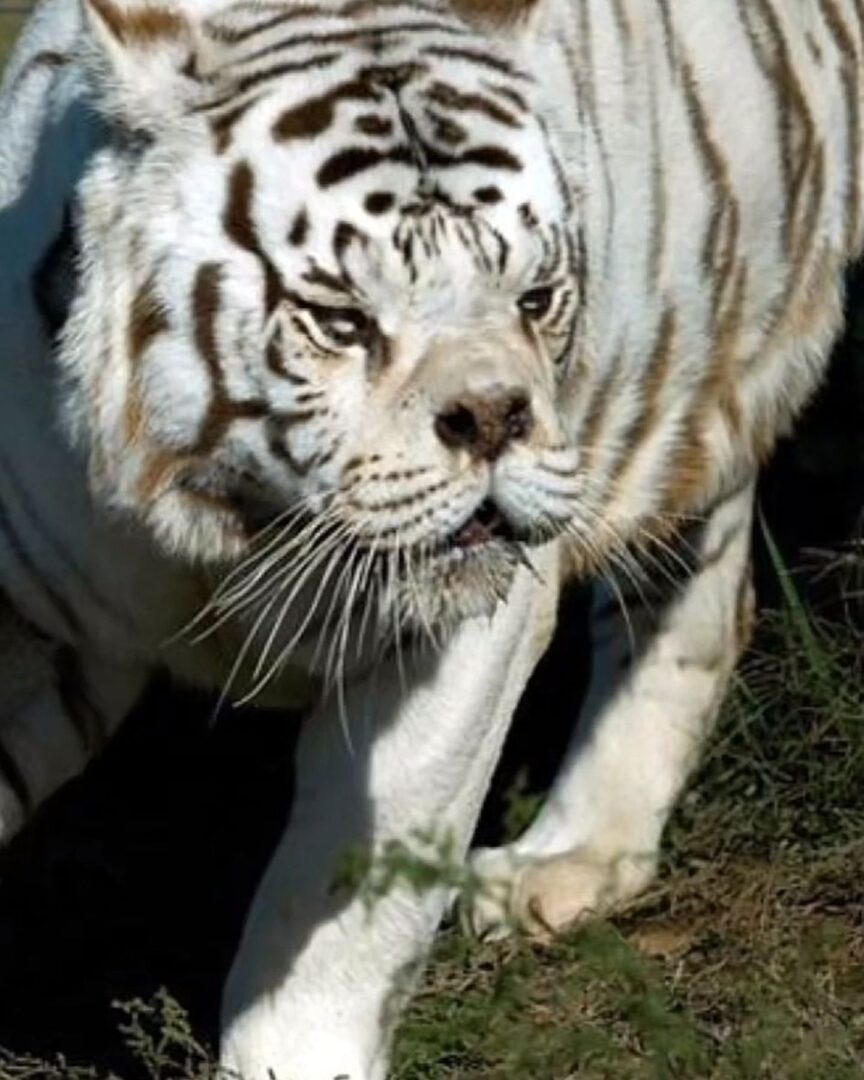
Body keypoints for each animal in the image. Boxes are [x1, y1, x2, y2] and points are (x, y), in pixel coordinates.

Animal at [0, 0, 861, 1076]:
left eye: (535, 298)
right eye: (340, 320)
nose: (494, 416)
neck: (230, 515)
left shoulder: (458, 634)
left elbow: (345, 902)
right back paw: (581, 855)